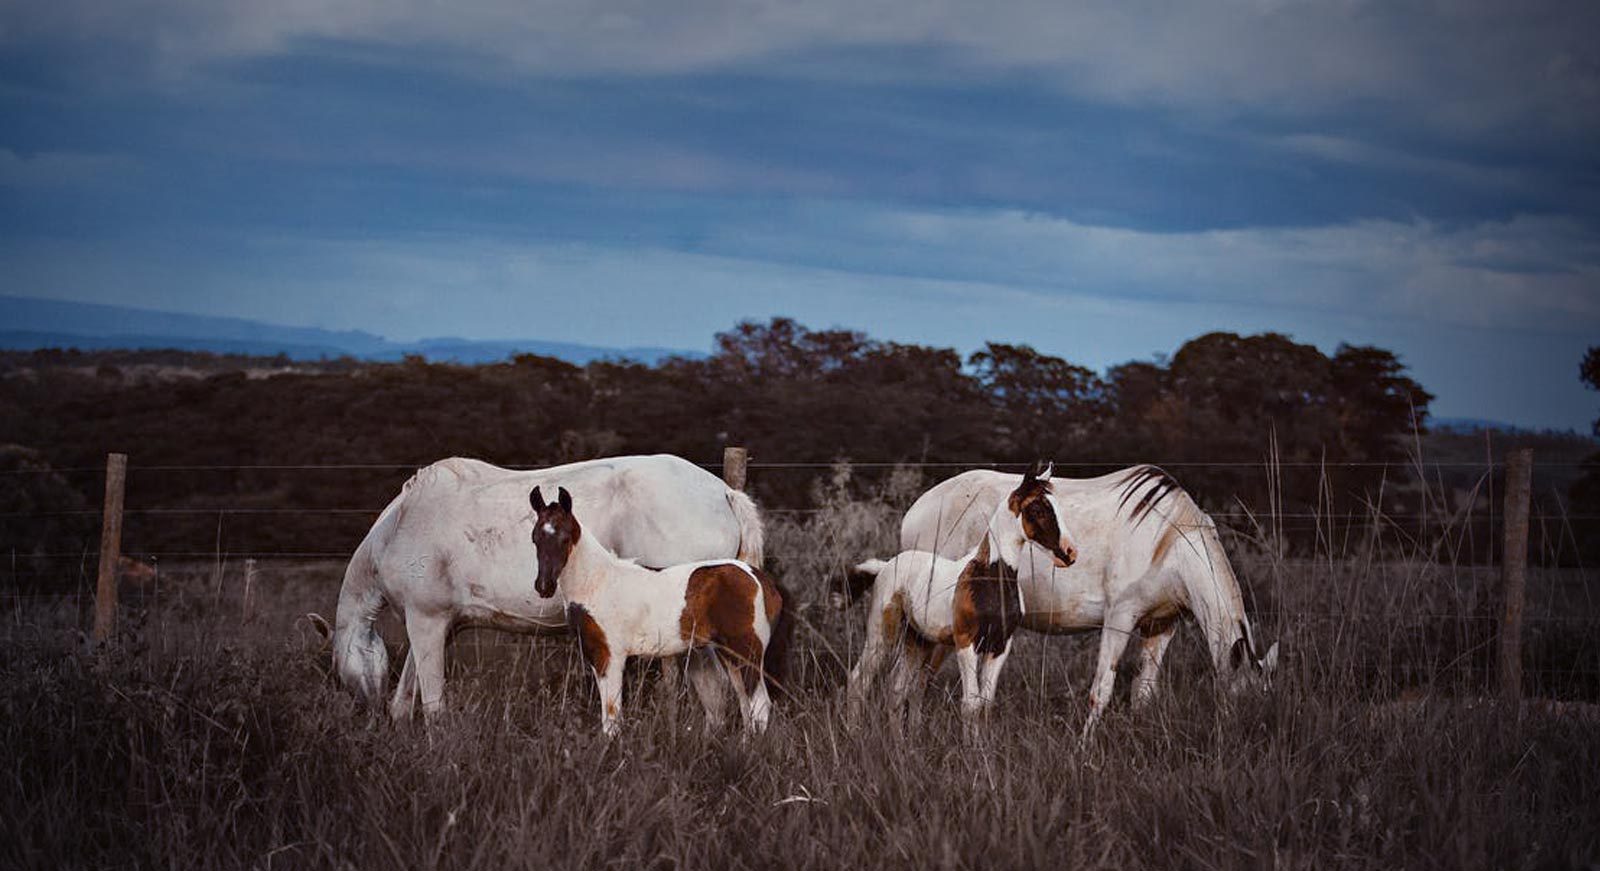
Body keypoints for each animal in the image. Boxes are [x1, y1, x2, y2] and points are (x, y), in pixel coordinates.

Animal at [319, 454, 764, 721]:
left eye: (339, 672)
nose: (365, 713)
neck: (400, 524)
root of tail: (724, 492)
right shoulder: (433, 626)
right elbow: (407, 695)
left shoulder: (425, 620)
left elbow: (432, 703)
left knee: (717, 691)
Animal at [530, 485, 790, 736]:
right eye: (535, 538)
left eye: (565, 538)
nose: (544, 587)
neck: (596, 581)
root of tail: (761, 580)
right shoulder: (596, 656)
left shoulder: (611, 655)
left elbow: (612, 716)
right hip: (731, 654)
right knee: (746, 704)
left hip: (748, 652)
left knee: (759, 705)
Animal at [845, 465, 1078, 719]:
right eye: (1037, 508)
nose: (1069, 553)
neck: (989, 576)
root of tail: (885, 567)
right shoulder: (967, 643)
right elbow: (971, 704)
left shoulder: (1000, 646)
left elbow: (985, 704)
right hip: (881, 637)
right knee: (859, 681)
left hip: (917, 640)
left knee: (896, 691)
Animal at [896, 463, 1278, 735]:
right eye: (1240, 701)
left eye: (1263, 699)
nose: (1250, 736)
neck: (1168, 540)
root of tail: (915, 511)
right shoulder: (1119, 619)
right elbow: (1102, 690)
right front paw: (1084, 748)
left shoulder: (1161, 625)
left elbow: (1143, 692)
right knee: (909, 678)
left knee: (917, 680)